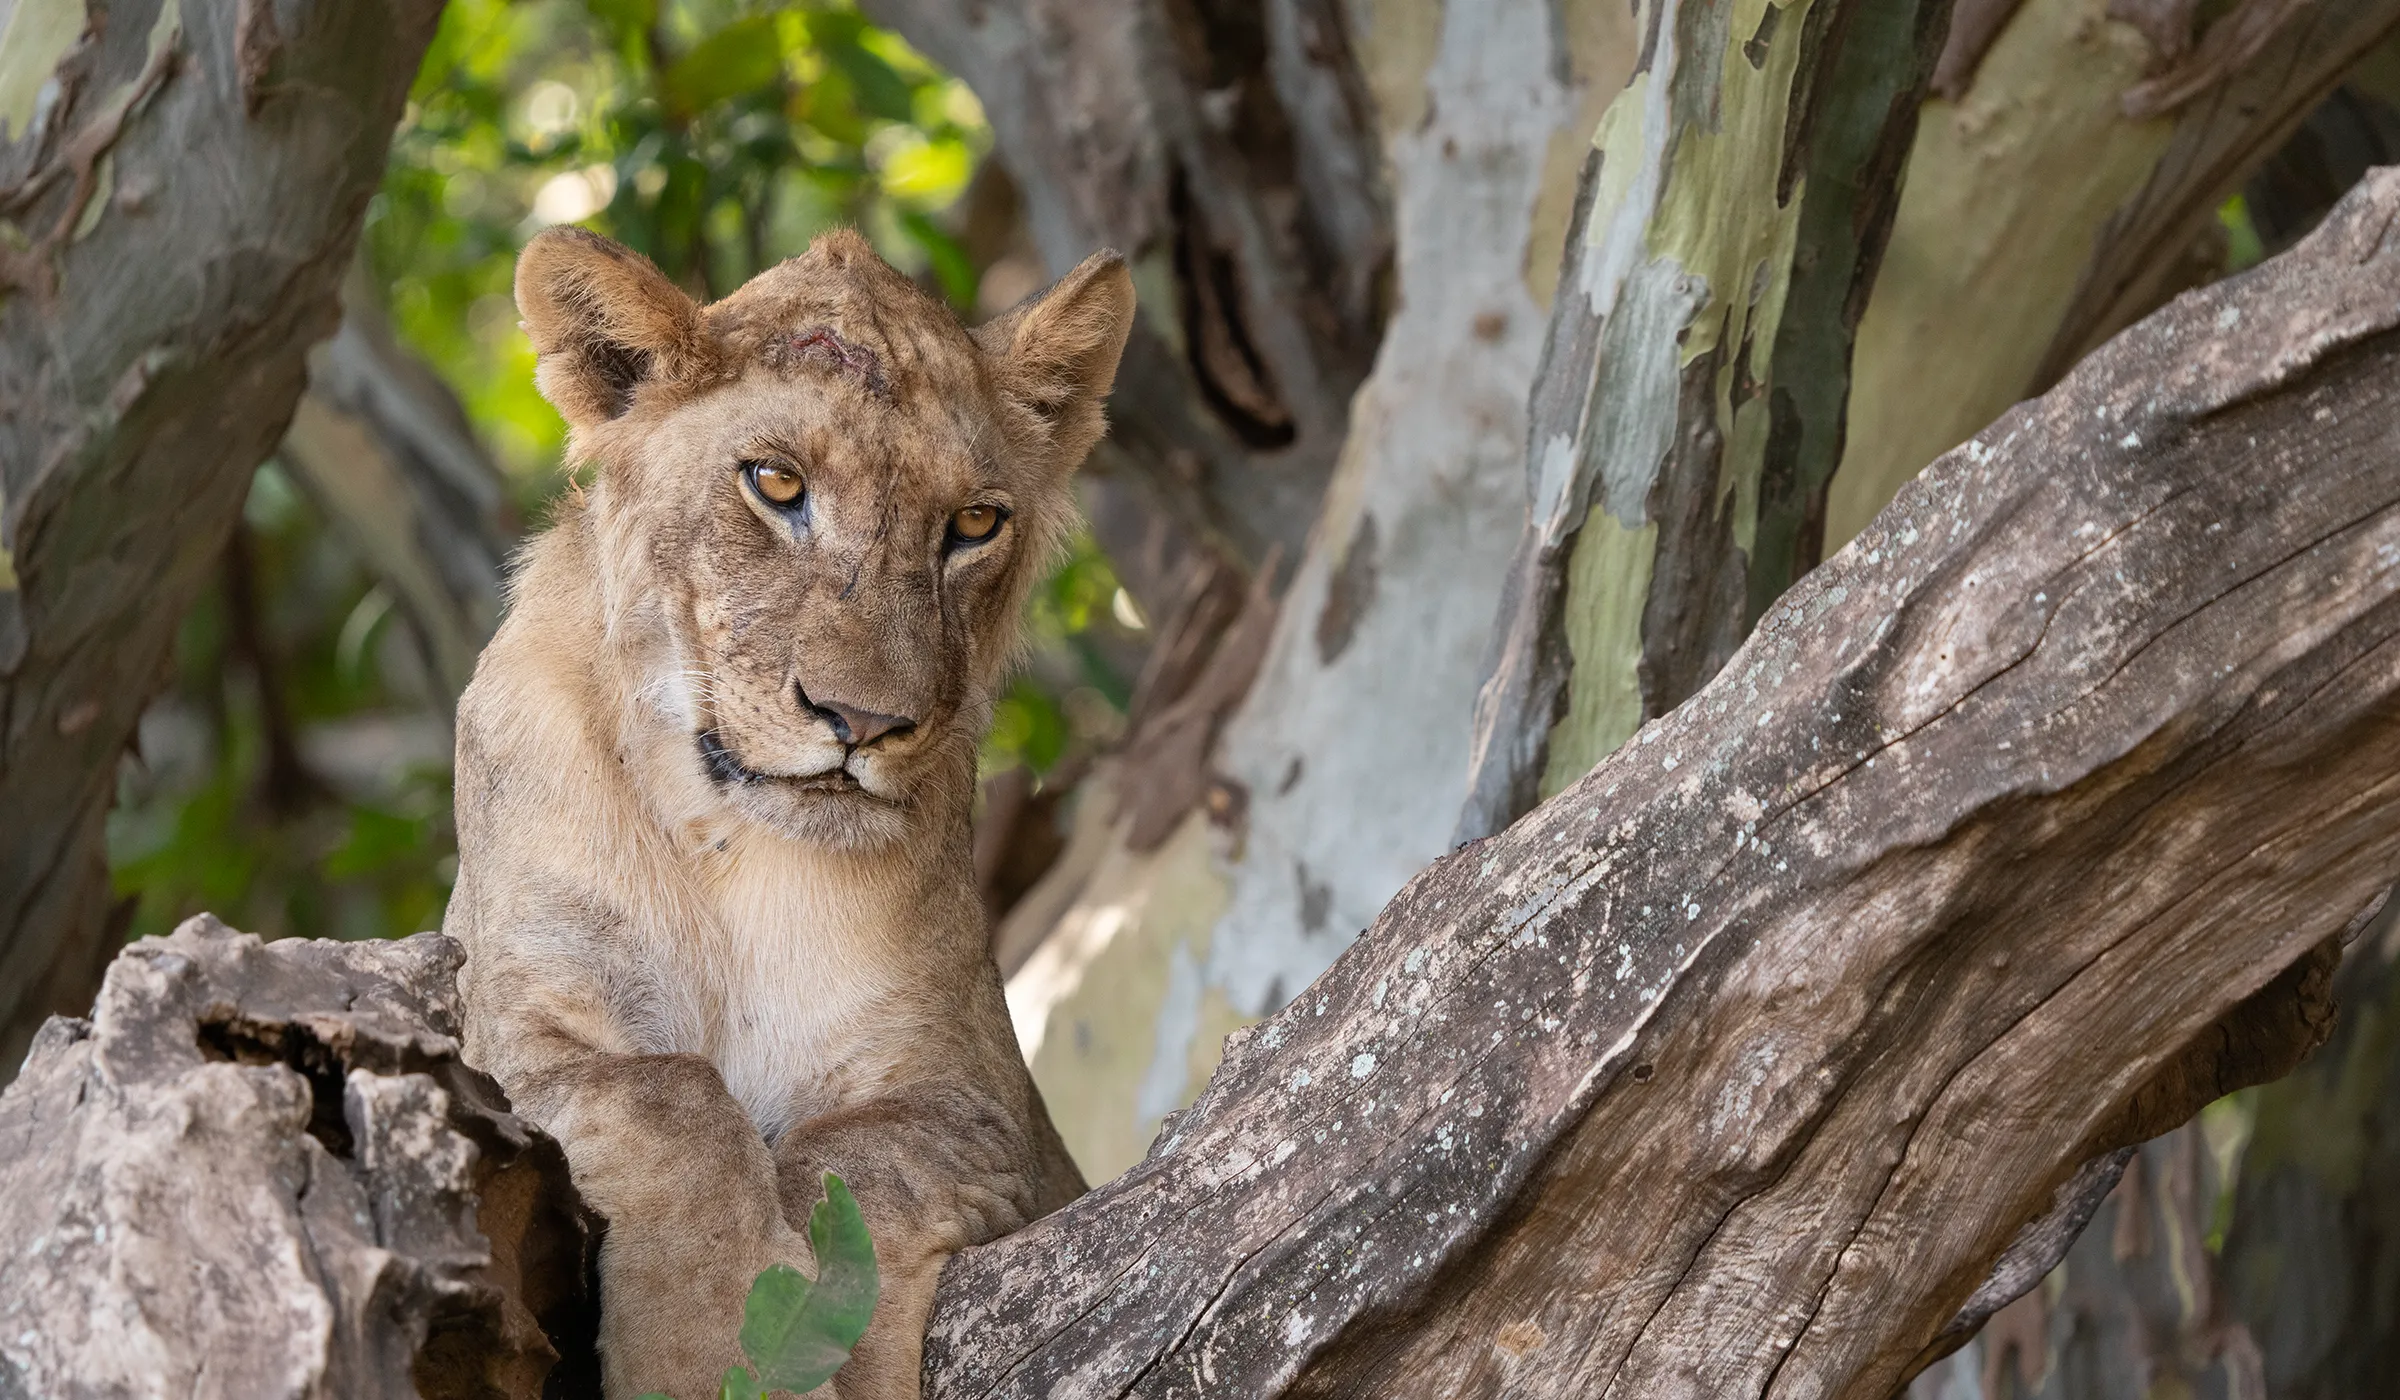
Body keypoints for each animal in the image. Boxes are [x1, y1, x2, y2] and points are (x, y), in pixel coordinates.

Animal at [443, 224, 1133, 1399]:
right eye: (776, 482)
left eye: (974, 523)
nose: (864, 719)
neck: (728, 849)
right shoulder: (505, 1034)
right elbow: (671, 1095)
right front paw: (709, 1353)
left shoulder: (973, 1098)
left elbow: (842, 1165)